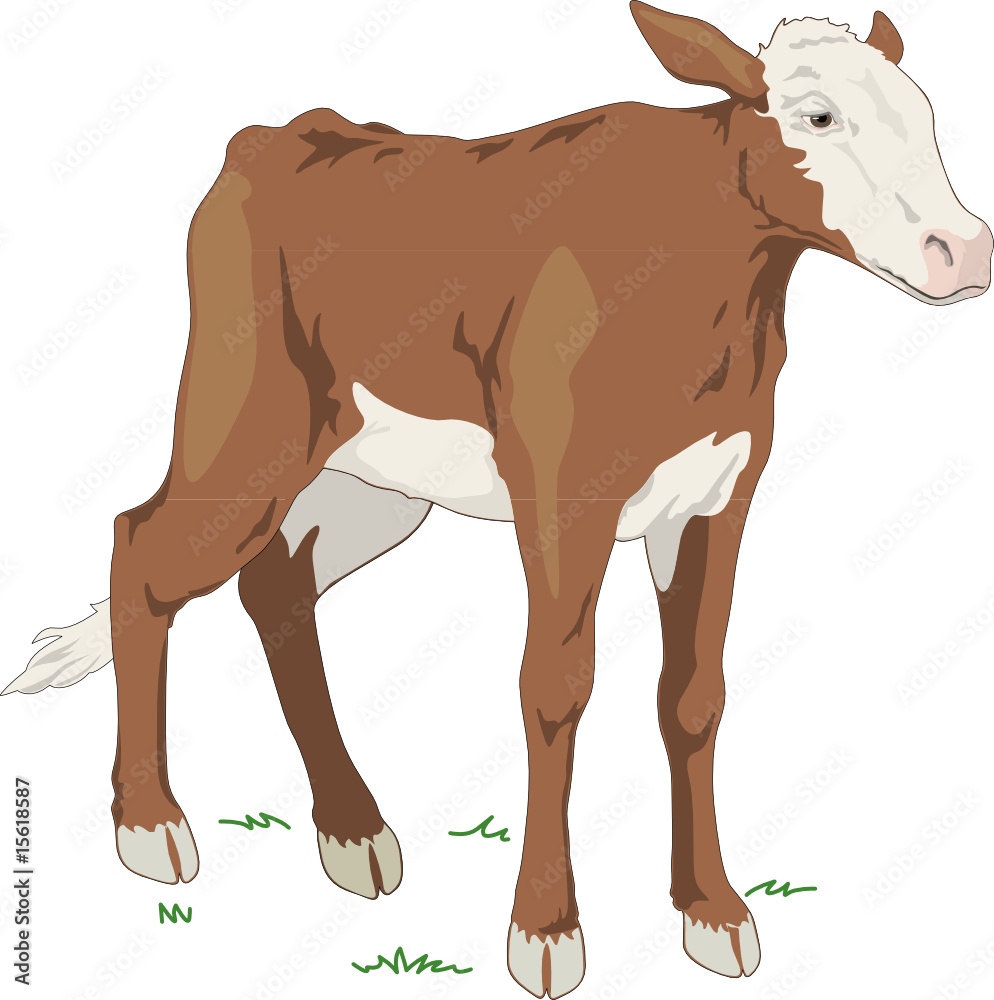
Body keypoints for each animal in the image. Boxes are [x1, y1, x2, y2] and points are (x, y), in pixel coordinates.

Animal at [4, 4, 990, 997]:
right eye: (818, 118)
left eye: (929, 117)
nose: (964, 250)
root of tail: (275, 137)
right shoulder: (561, 490)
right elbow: (555, 688)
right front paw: (545, 928)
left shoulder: (719, 495)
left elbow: (694, 695)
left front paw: (711, 909)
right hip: (248, 424)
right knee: (143, 548)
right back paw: (151, 824)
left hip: (377, 479)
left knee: (274, 585)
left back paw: (351, 828)